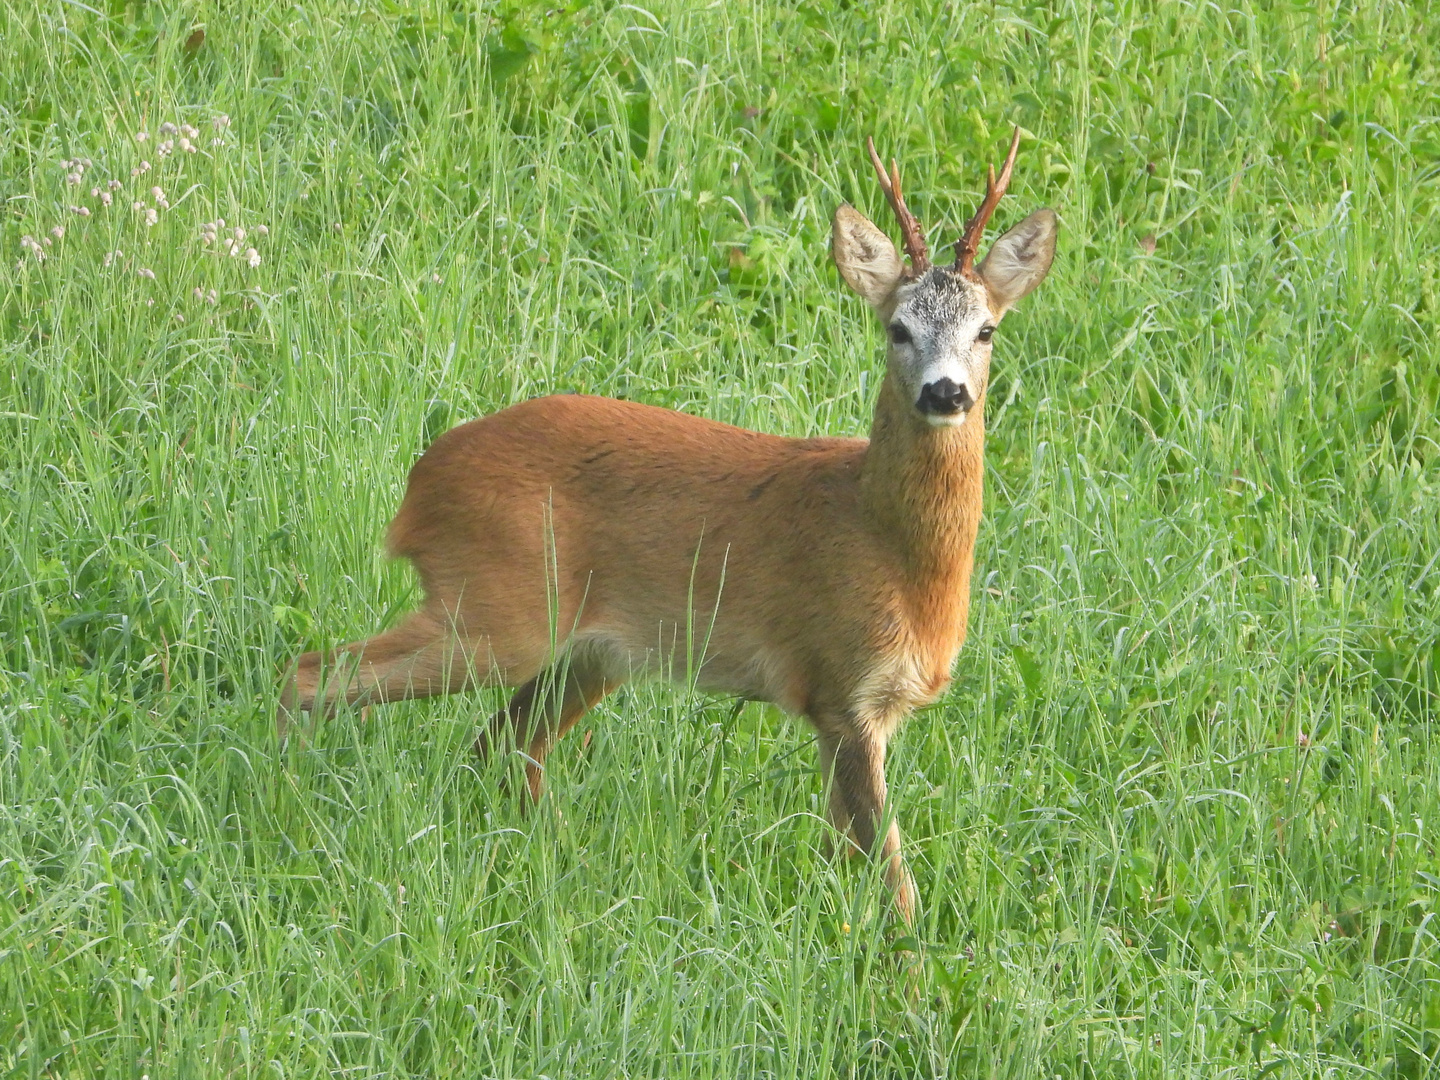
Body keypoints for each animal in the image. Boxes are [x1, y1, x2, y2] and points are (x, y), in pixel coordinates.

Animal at [277, 131, 1059, 927]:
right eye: (899, 328)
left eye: (987, 329)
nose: (945, 392)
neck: (890, 548)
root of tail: (419, 486)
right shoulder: (839, 687)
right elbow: (891, 873)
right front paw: (910, 956)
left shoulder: (859, 708)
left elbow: (850, 857)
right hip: (496, 614)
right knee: (309, 676)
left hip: (587, 653)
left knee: (502, 746)